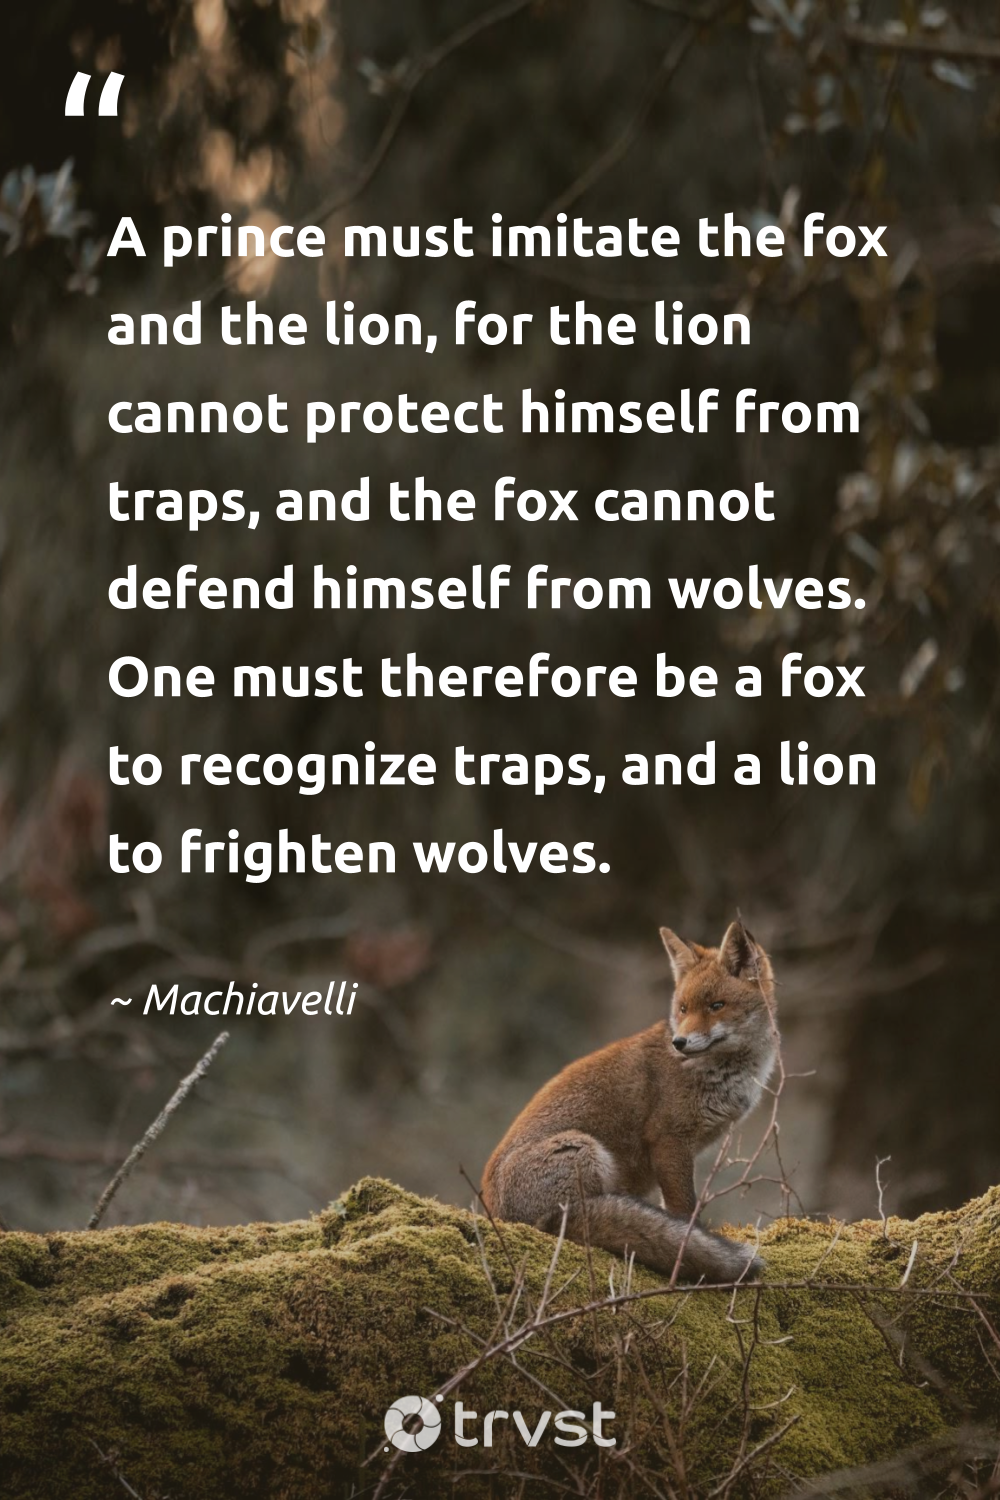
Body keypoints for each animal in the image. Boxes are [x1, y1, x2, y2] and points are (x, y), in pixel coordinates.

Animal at [481, 920, 778, 1283]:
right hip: (584, 1150)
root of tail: (496, 1213)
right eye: (683, 1009)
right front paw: (691, 1242)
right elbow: (684, 1210)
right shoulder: (668, 1140)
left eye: (716, 1006)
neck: (722, 1073)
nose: (679, 1042)